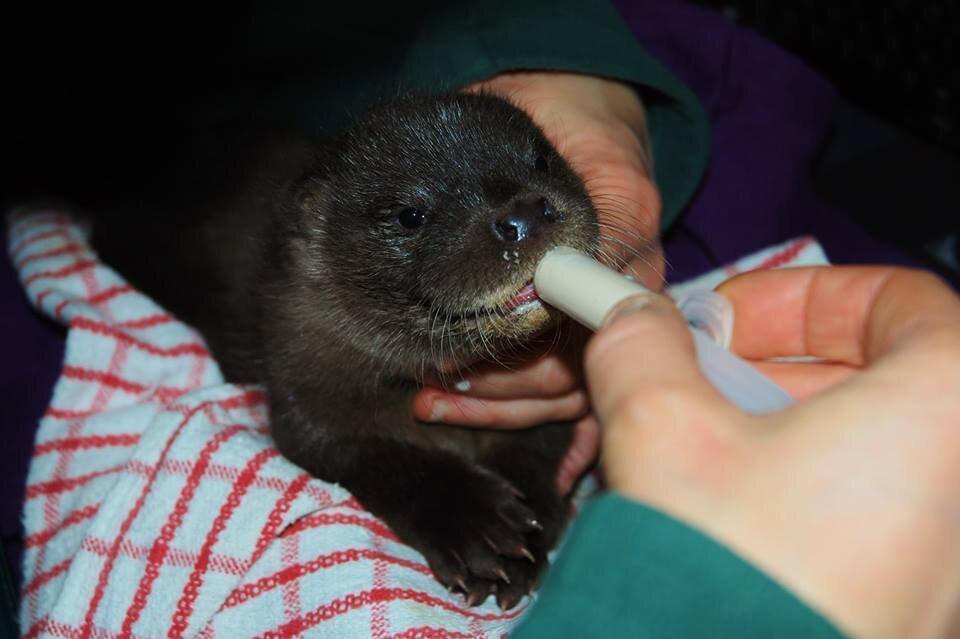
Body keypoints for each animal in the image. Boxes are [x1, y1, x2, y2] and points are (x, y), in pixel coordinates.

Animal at [91, 92, 600, 609]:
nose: (524, 215)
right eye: (410, 215)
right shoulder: (300, 389)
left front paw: (527, 540)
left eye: (540, 158)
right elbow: (377, 460)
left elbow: (537, 446)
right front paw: (476, 524)